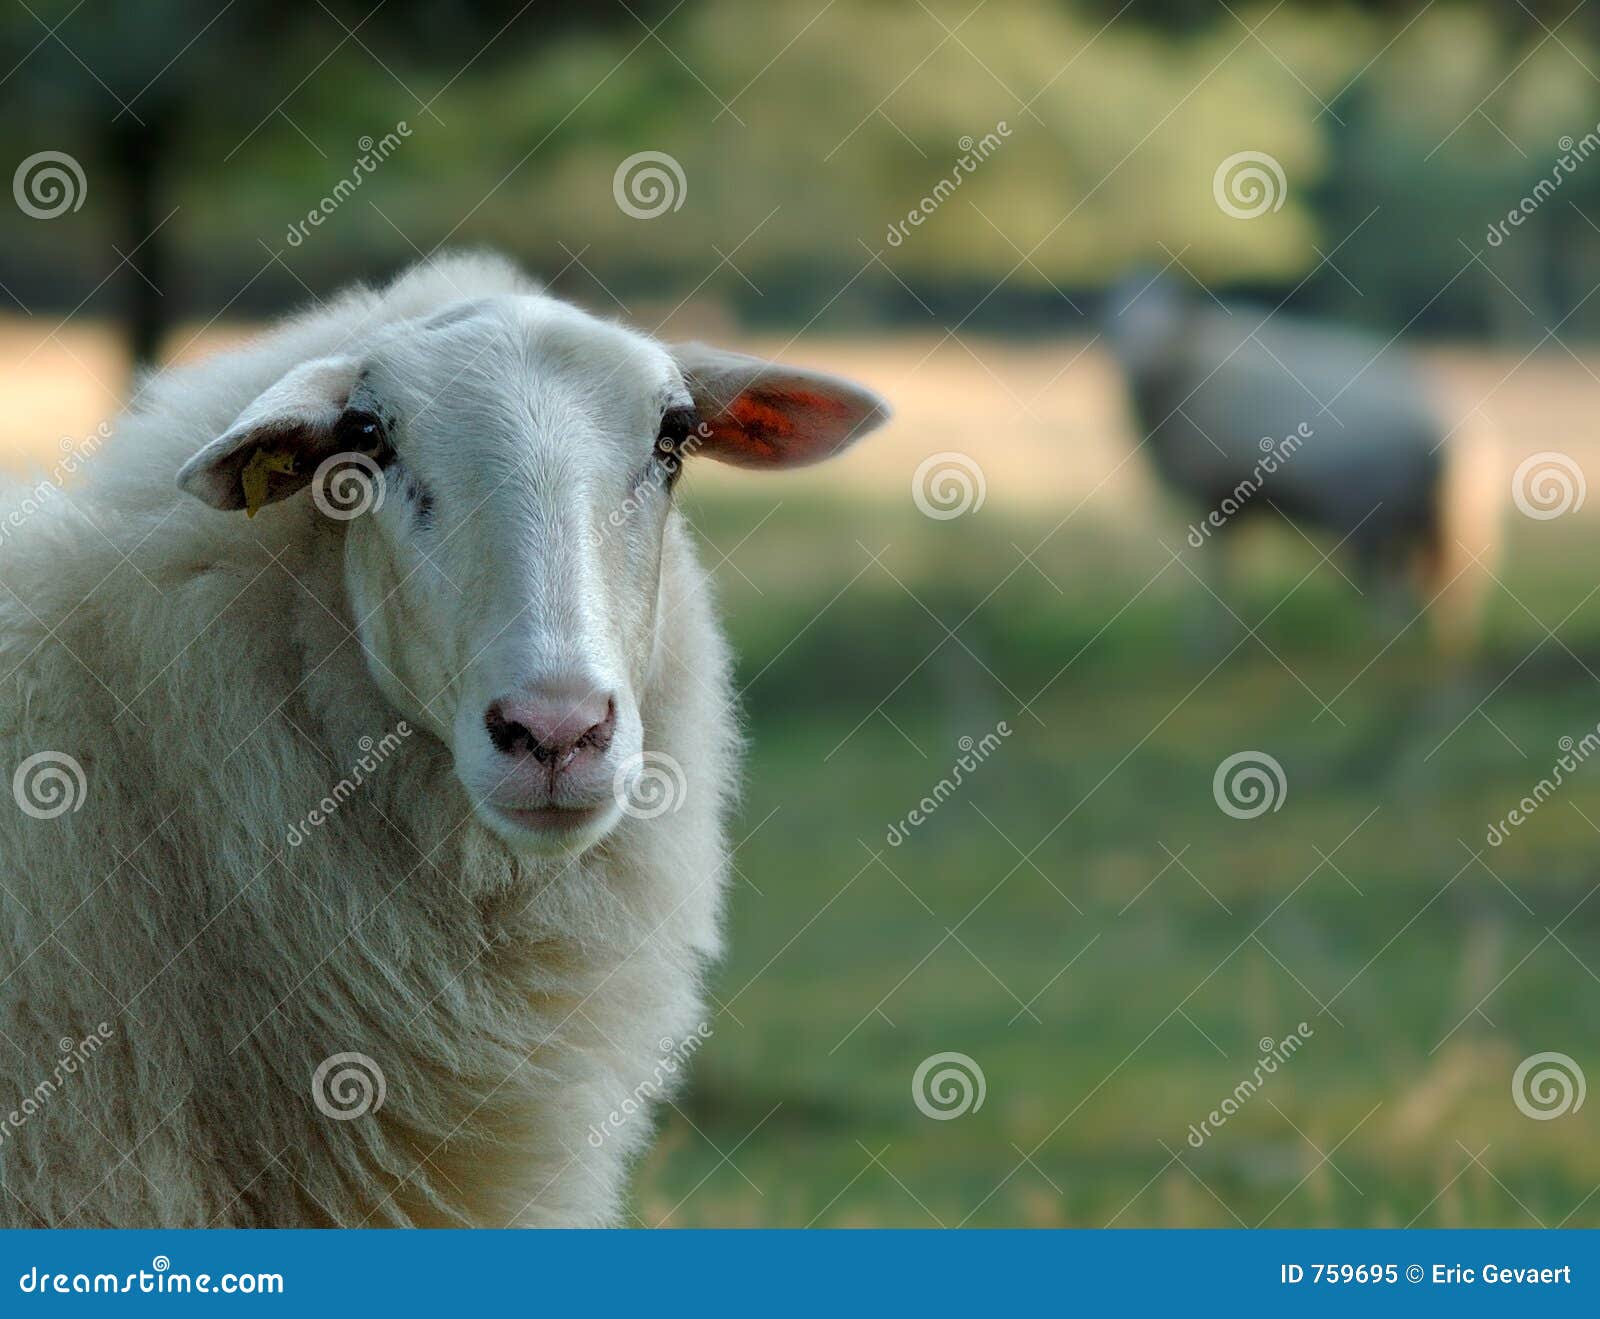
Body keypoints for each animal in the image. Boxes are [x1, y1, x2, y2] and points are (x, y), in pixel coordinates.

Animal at [1103, 273, 1499, 651]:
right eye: (1119, 312)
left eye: (1167, 315)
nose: (1135, 360)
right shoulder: (1239, 503)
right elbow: (1232, 570)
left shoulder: (1215, 493)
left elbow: (1218, 573)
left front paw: (1207, 640)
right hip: (1412, 518)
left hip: (1375, 513)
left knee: (1390, 584)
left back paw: (1386, 638)